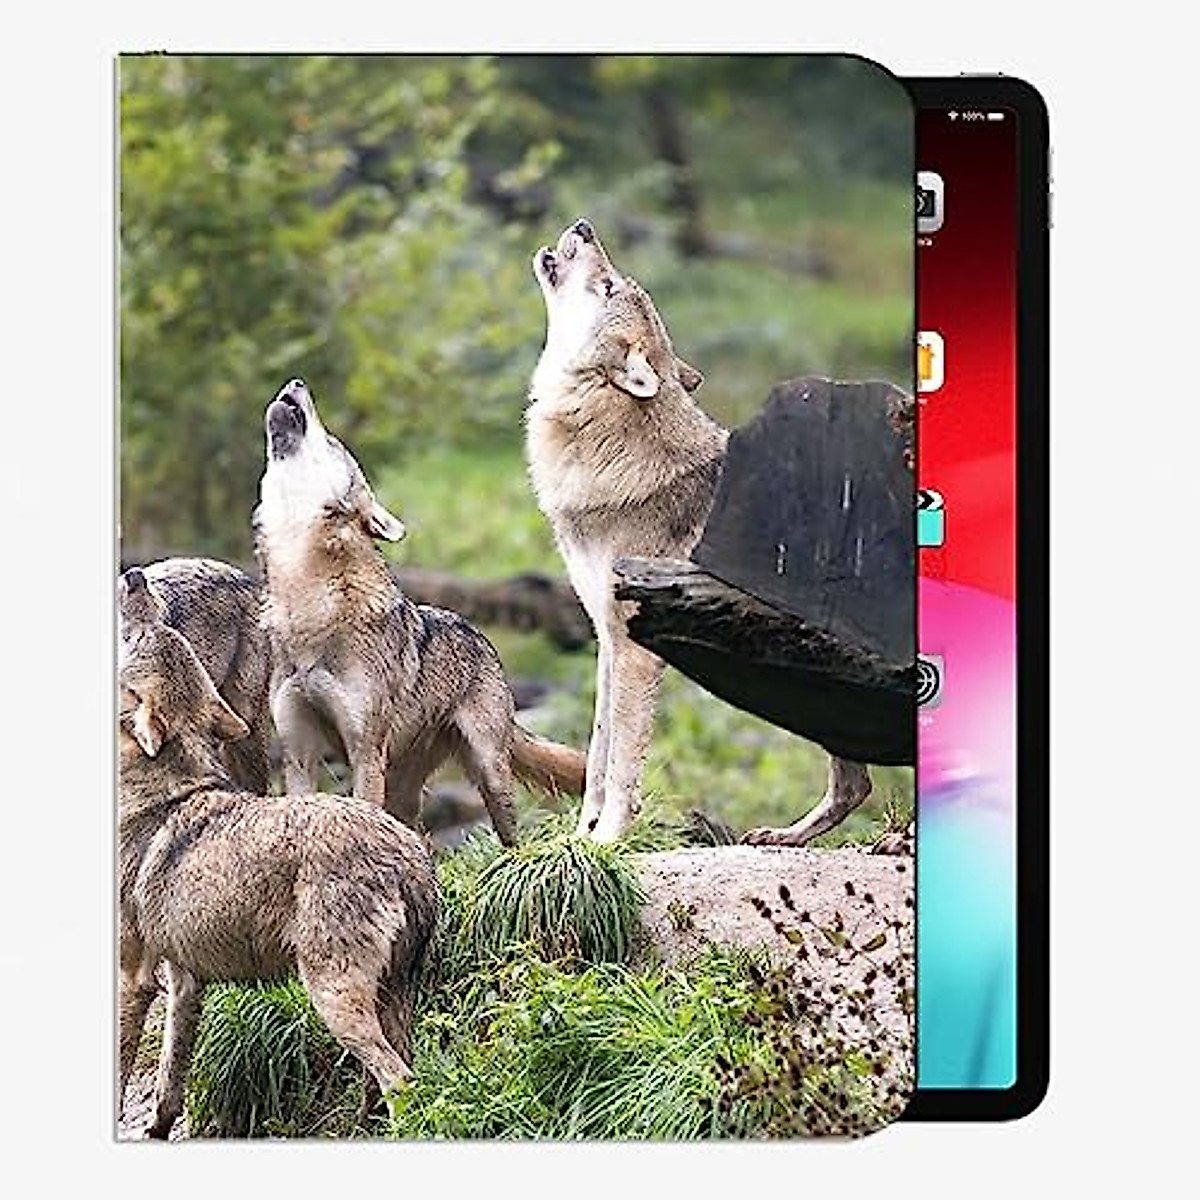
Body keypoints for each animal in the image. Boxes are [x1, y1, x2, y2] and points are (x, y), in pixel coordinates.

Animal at [116, 567, 437, 1138]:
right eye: (154, 632)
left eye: (139, 637)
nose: (134, 575)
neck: (163, 791)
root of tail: (409, 856)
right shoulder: (183, 981)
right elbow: (169, 1081)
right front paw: (156, 1130)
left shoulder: (132, 978)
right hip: (389, 1001)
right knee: (392, 1076)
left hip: (332, 997)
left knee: (399, 1080)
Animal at [253, 378, 585, 847]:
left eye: (333, 442)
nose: (298, 381)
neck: (309, 606)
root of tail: (479, 635)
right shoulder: (299, 751)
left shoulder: (364, 752)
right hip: (406, 784)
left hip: (488, 773)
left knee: (509, 836)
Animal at [526, 218, 872, 845]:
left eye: (609, 286)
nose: (584, 225)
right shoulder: (606, 640)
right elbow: (596, 757)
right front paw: (581, 838)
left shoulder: (634, 648)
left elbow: (621, 764)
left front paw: (609, 840)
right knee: (856, 786)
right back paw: (781, 837)